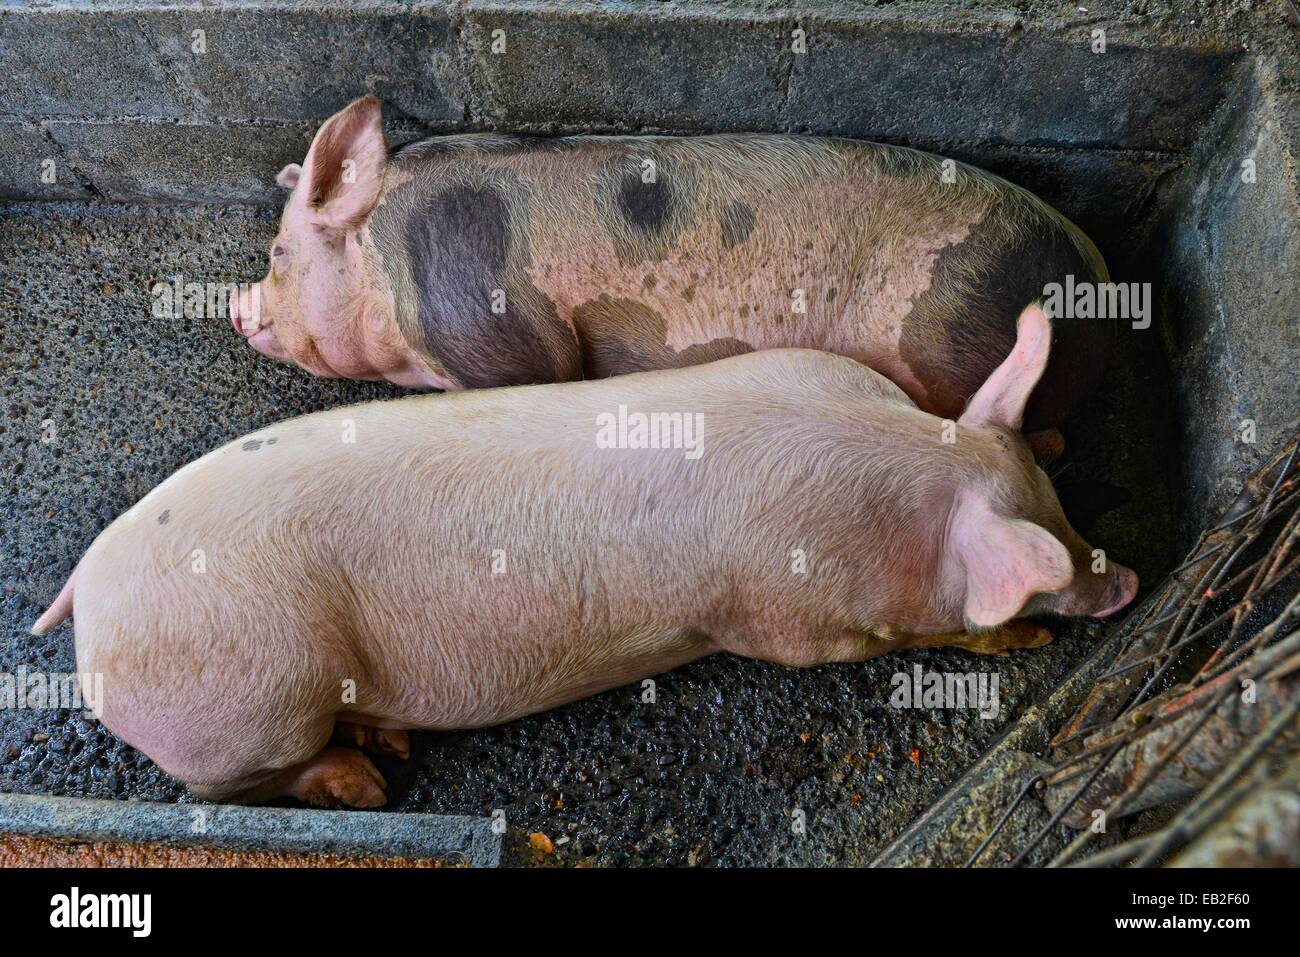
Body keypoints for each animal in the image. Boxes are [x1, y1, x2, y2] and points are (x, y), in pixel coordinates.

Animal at [35, 305, 1135, 807]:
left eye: (1057, 502)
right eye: (1042, 563)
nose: (1122, 578)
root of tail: (88, 595)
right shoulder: (788, 622)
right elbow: (883, 644)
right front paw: (1025, 641)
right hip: (247, 697)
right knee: (237, 786)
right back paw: (369, 782)